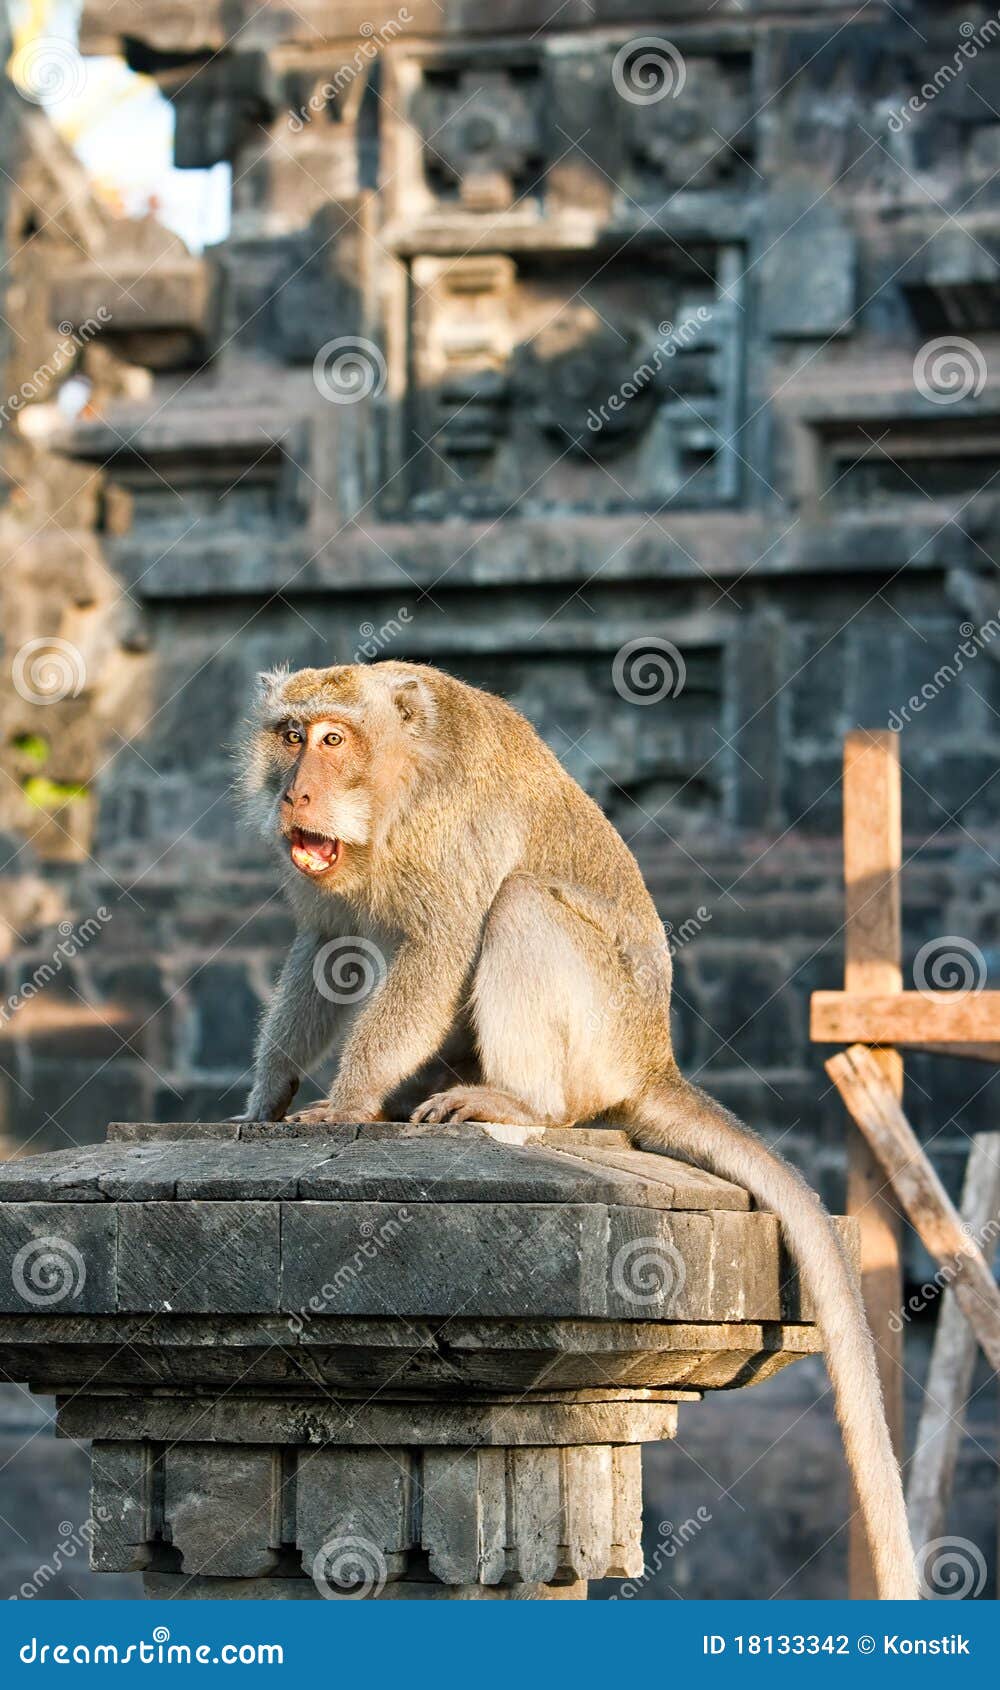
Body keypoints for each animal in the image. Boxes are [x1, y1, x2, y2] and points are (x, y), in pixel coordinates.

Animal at [240, 658, 918, 1602]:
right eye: (291, 734)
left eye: (335, 737)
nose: (296, 791)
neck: (396, 788)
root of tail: (652, 1058)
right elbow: (323, 947)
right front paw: (266, 1091)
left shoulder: (450, 834)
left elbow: (438, 950)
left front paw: (349, 1101)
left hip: (600, 1030)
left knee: (521, 905)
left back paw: (516, 1106)